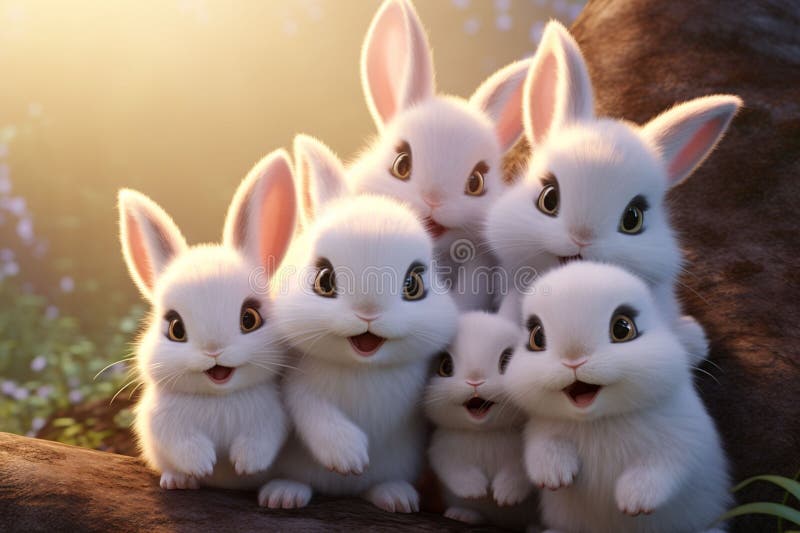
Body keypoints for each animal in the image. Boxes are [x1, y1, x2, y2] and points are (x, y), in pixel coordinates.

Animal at [118, 149, 296, 492]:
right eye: (175, 328)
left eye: (250, 318)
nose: (214, 351)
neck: (219, 398)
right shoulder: (163, 421)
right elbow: (183, 443)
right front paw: (201, 465)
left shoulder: (271, 417)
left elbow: (261, 440)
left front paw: (245, 464)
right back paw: (178, 481)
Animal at [258, 134, 459, 513]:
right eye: (324, 280)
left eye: (414, 285)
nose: (368, 314)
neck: (361, 366)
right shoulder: (297, 384)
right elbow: (310, 409)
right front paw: (348, 457)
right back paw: (283, 495)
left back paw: (397, 497)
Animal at [424, 311, 539, 530]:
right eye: (445, 366)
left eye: (507, 360)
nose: (474, 380)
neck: (484, 432)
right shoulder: (441, 448)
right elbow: (453, 468)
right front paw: (476, 490)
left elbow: (520, 472)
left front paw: (505, 496)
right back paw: (462, 515)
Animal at [504, 261, 731, 533]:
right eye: (537, 337)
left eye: (623, 328)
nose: (573, 361)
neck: (599, 420)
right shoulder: (540, 430)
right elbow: (543, 449)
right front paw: (554, 477)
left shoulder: (681, 441)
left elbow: (661, 468)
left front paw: (633, 501)